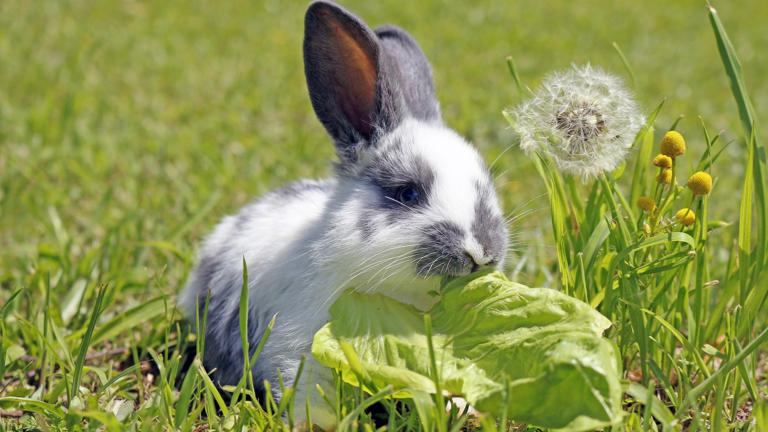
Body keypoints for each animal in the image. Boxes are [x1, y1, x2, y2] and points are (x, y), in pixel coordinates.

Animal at [179, 0, 509, 428]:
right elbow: (308, 396)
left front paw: (460, 410)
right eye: (407, 193)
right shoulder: (298, 349)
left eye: (486, 183)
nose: (480, 253)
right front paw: (318, 426)